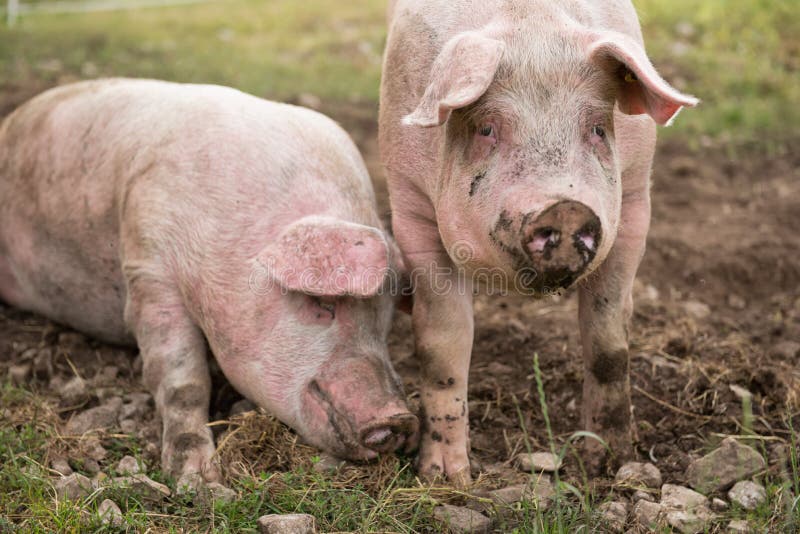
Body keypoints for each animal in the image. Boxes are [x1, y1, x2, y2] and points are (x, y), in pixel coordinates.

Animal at [0, 78, 419, 488]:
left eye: (385, 320)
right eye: (323, 304)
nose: (400, 417)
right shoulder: (148, 264)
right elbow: (182, 379)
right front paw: (200, 481)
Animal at [379, 0, 697, 484]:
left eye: (598, 129)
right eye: (486, 129)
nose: (564, 207)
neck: (532, 29)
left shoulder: (635, 199)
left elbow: (608, 341)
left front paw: (610, 462)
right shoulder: (409, 201)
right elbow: (442, 345)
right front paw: (446, 478)